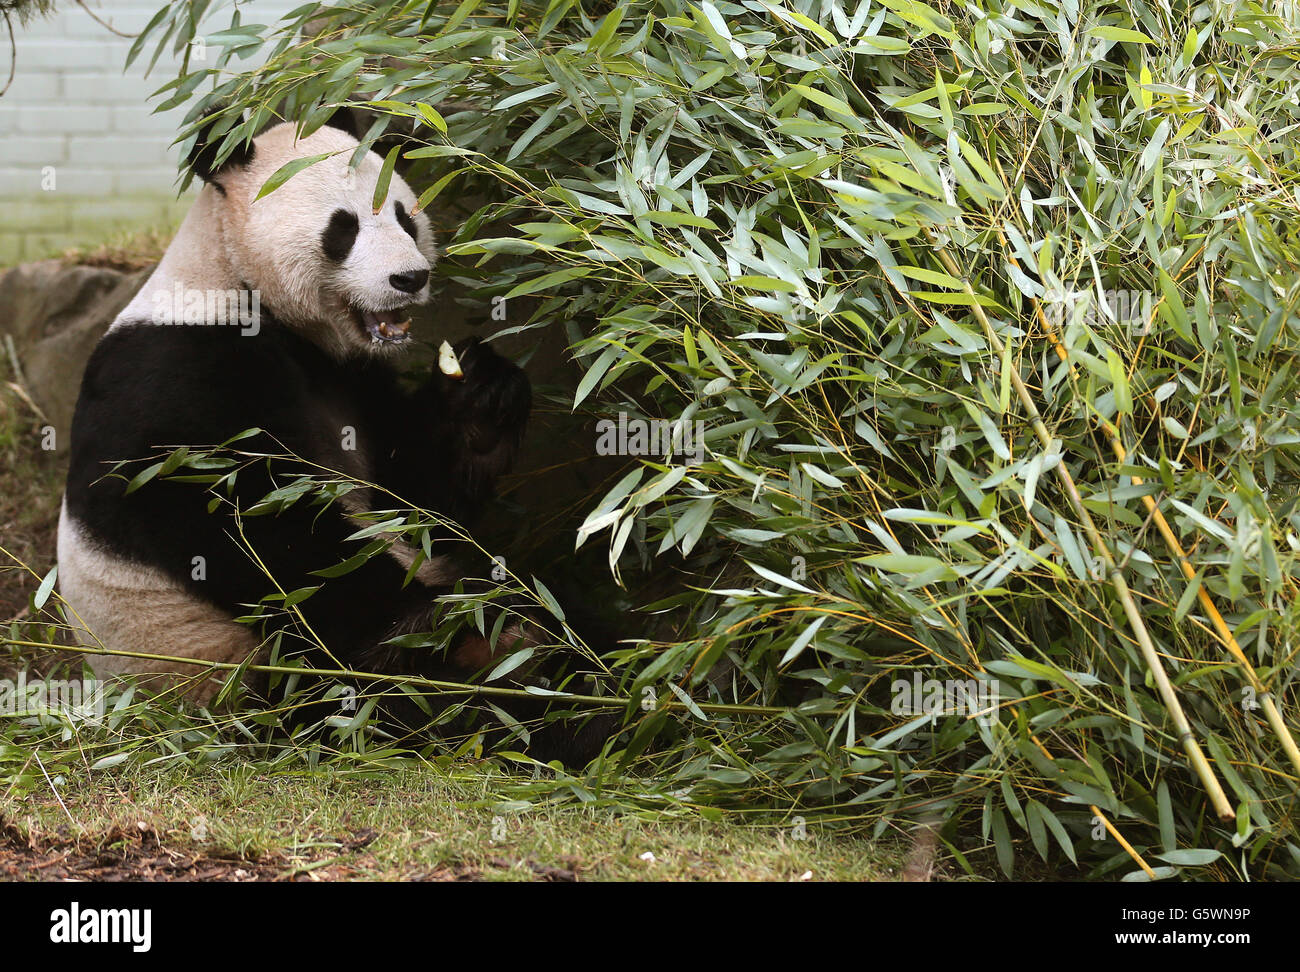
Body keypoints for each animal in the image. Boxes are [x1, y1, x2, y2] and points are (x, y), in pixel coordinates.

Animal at [56, 111, 612, 763]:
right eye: (342, 228)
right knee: (399, 702)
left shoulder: (353, 377)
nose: (410, 278)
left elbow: (415, 498)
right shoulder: (177, 376)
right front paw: (456, 622)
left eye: (403, 215)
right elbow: (255, 530)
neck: (232, 278)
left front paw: (482, 394)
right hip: (239, 677)